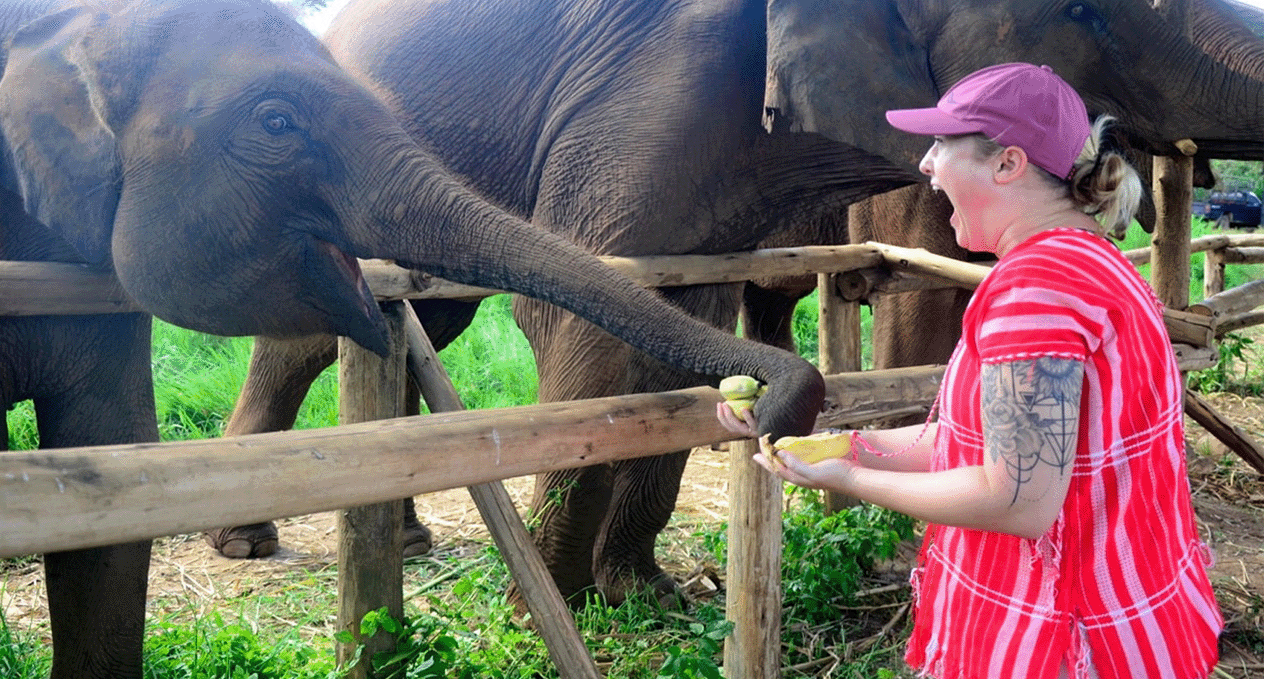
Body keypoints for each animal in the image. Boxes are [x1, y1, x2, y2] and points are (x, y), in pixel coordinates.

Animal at [214, 0, 1262, 612]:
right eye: (1081, 8)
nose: (787, 409)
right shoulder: (652, 85)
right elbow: (599, 309)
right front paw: (549, 607)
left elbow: (692, 304)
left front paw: (645, 595)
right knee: (326, 318)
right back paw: (243, 536)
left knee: (427, 320)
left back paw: (406, 534)